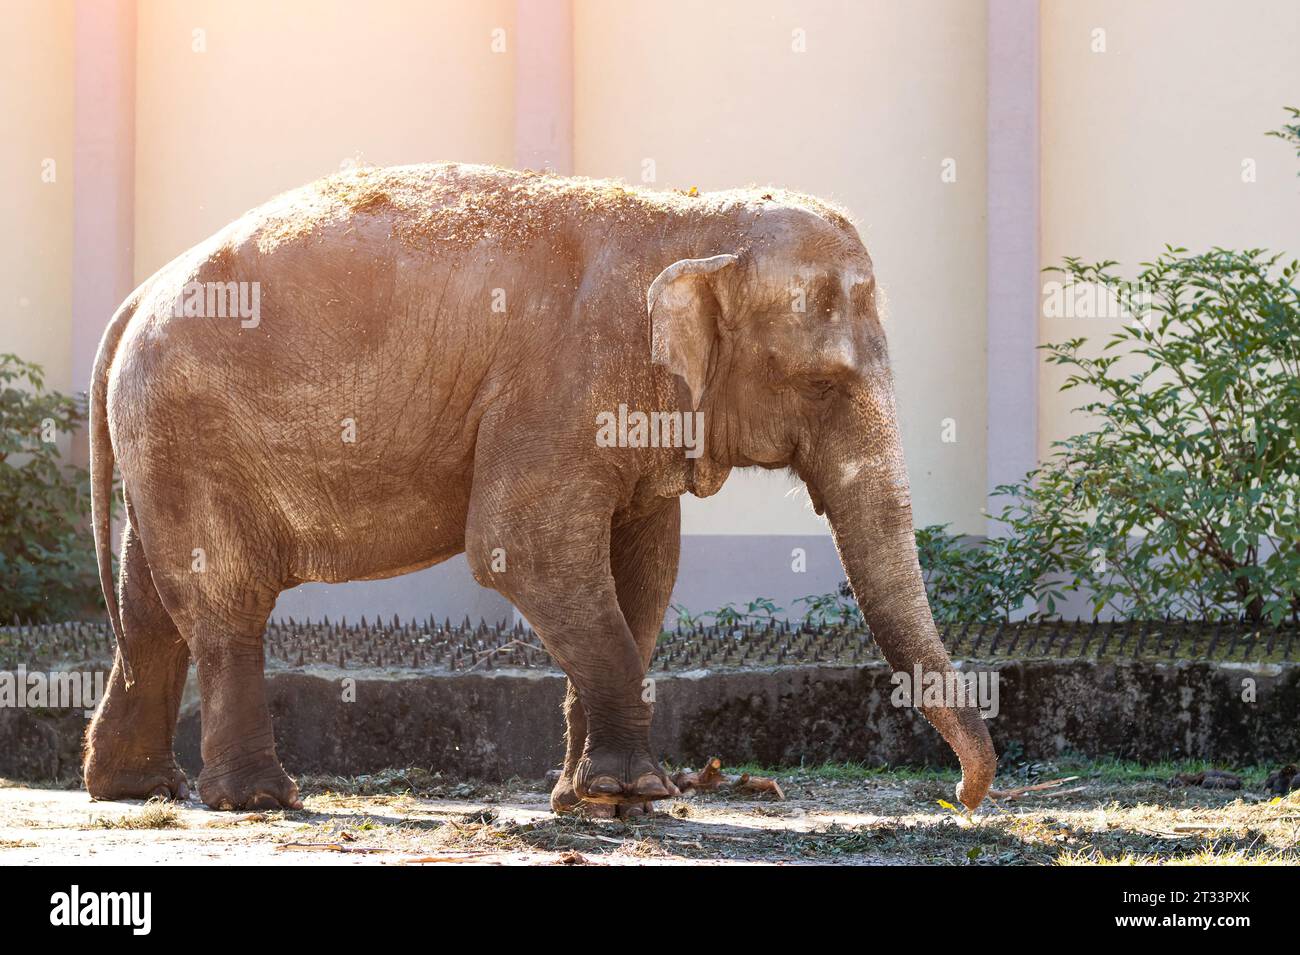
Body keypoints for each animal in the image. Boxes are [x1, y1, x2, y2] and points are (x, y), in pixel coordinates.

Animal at [83, 162, 996, 813]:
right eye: (824, 384)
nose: (959, 795)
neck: (692, 216)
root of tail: (135, 297)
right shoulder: (559, 387)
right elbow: (522, 550)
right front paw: (635, 791)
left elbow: (644, 573)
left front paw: (589, 796)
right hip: (191, 430)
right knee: (223, 599)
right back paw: (259, 800)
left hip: (159, 445)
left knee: (150, 609)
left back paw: (137, 789)